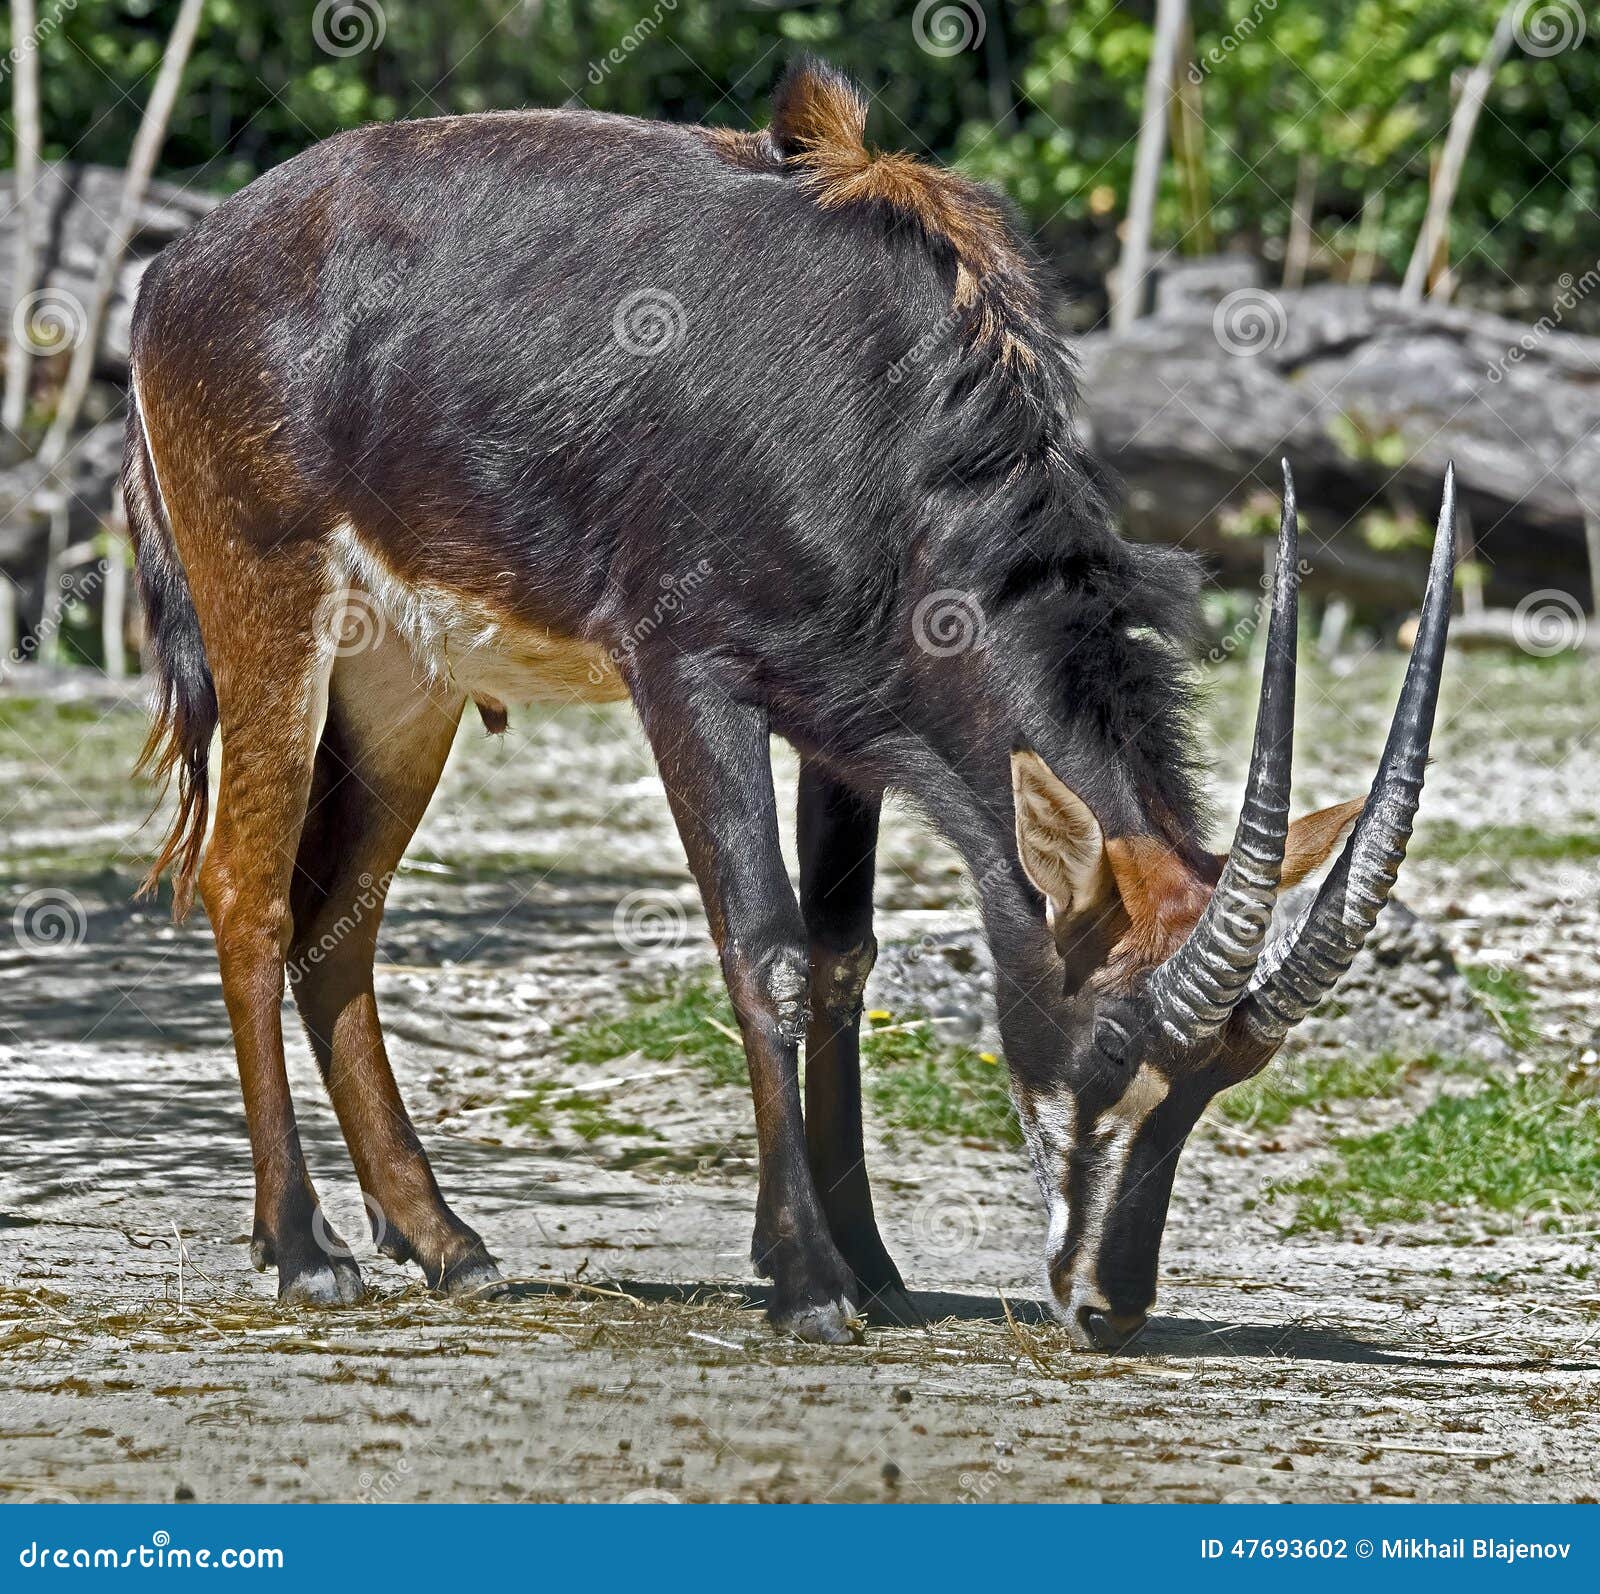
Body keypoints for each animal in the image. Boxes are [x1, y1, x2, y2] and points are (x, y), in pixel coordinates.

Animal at [123, 58, 1455, 1347]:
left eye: (1224, 1079)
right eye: (1118, 1041)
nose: (1110, 1306)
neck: (883, 415)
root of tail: (174, 273)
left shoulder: (845, 728)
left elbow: (841, 960)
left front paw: (874, 1266)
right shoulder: (688, 674)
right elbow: (761, 947)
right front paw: (808, 1277)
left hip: (407, 685)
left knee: (336, 921)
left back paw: (444, 1239)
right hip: (273, 615)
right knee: (246, 890)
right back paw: (305, 1251)